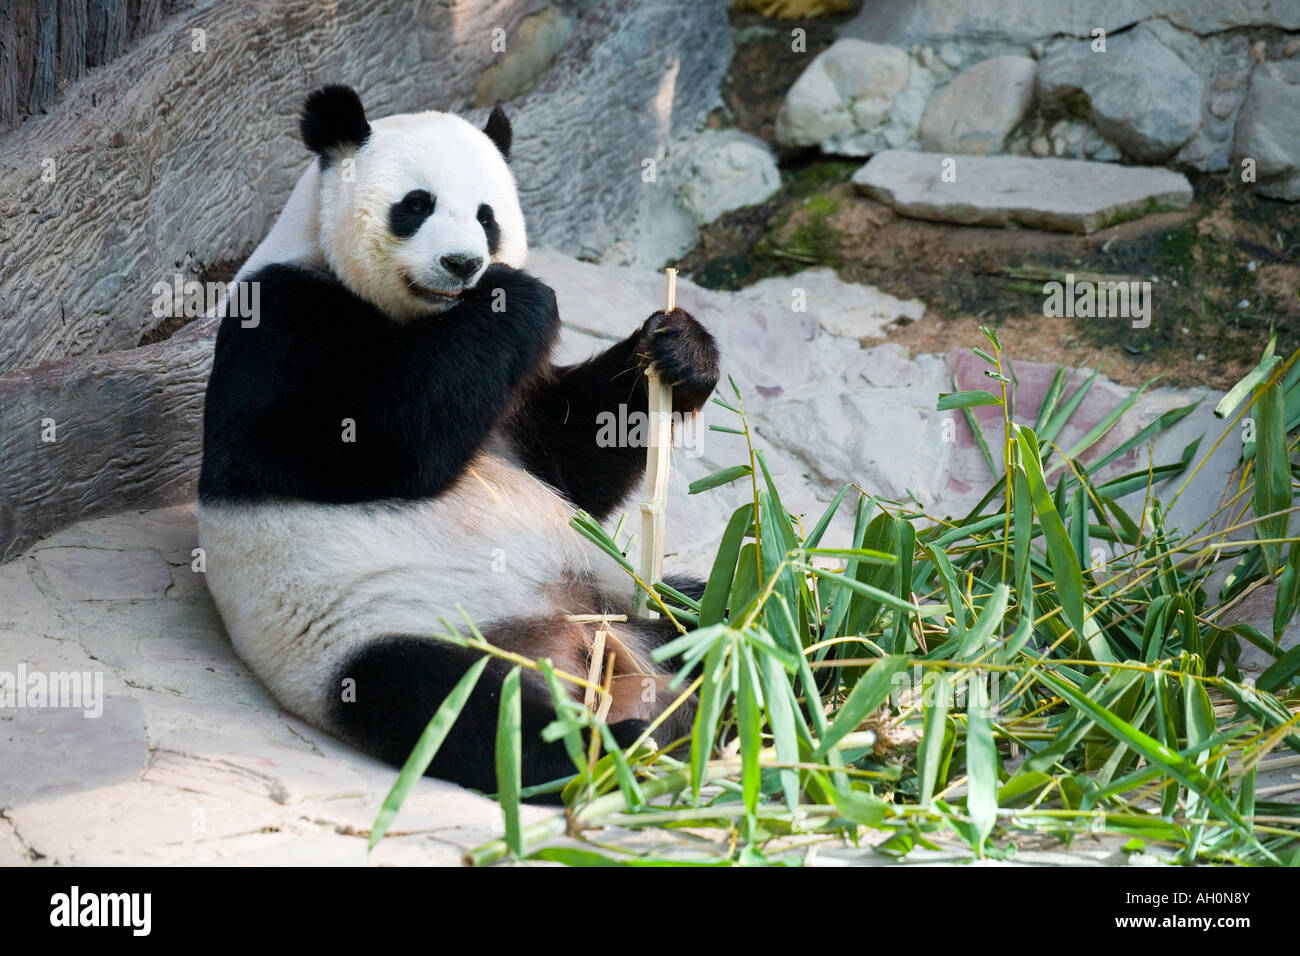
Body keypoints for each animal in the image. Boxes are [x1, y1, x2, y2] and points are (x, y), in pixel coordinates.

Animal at [197, 85, 720, 796]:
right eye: (416, 205)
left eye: (486, 216)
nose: (464, 264)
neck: (426, 317)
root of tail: (576, 646)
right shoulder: (279, 316)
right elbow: (350, 446)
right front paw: (515, 295)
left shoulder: (510, 400)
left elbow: (571, 459)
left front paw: (679, 351)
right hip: (380, 636)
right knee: (462, 708)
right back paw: (620, 748)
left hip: (632, 600)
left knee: (724, 599)